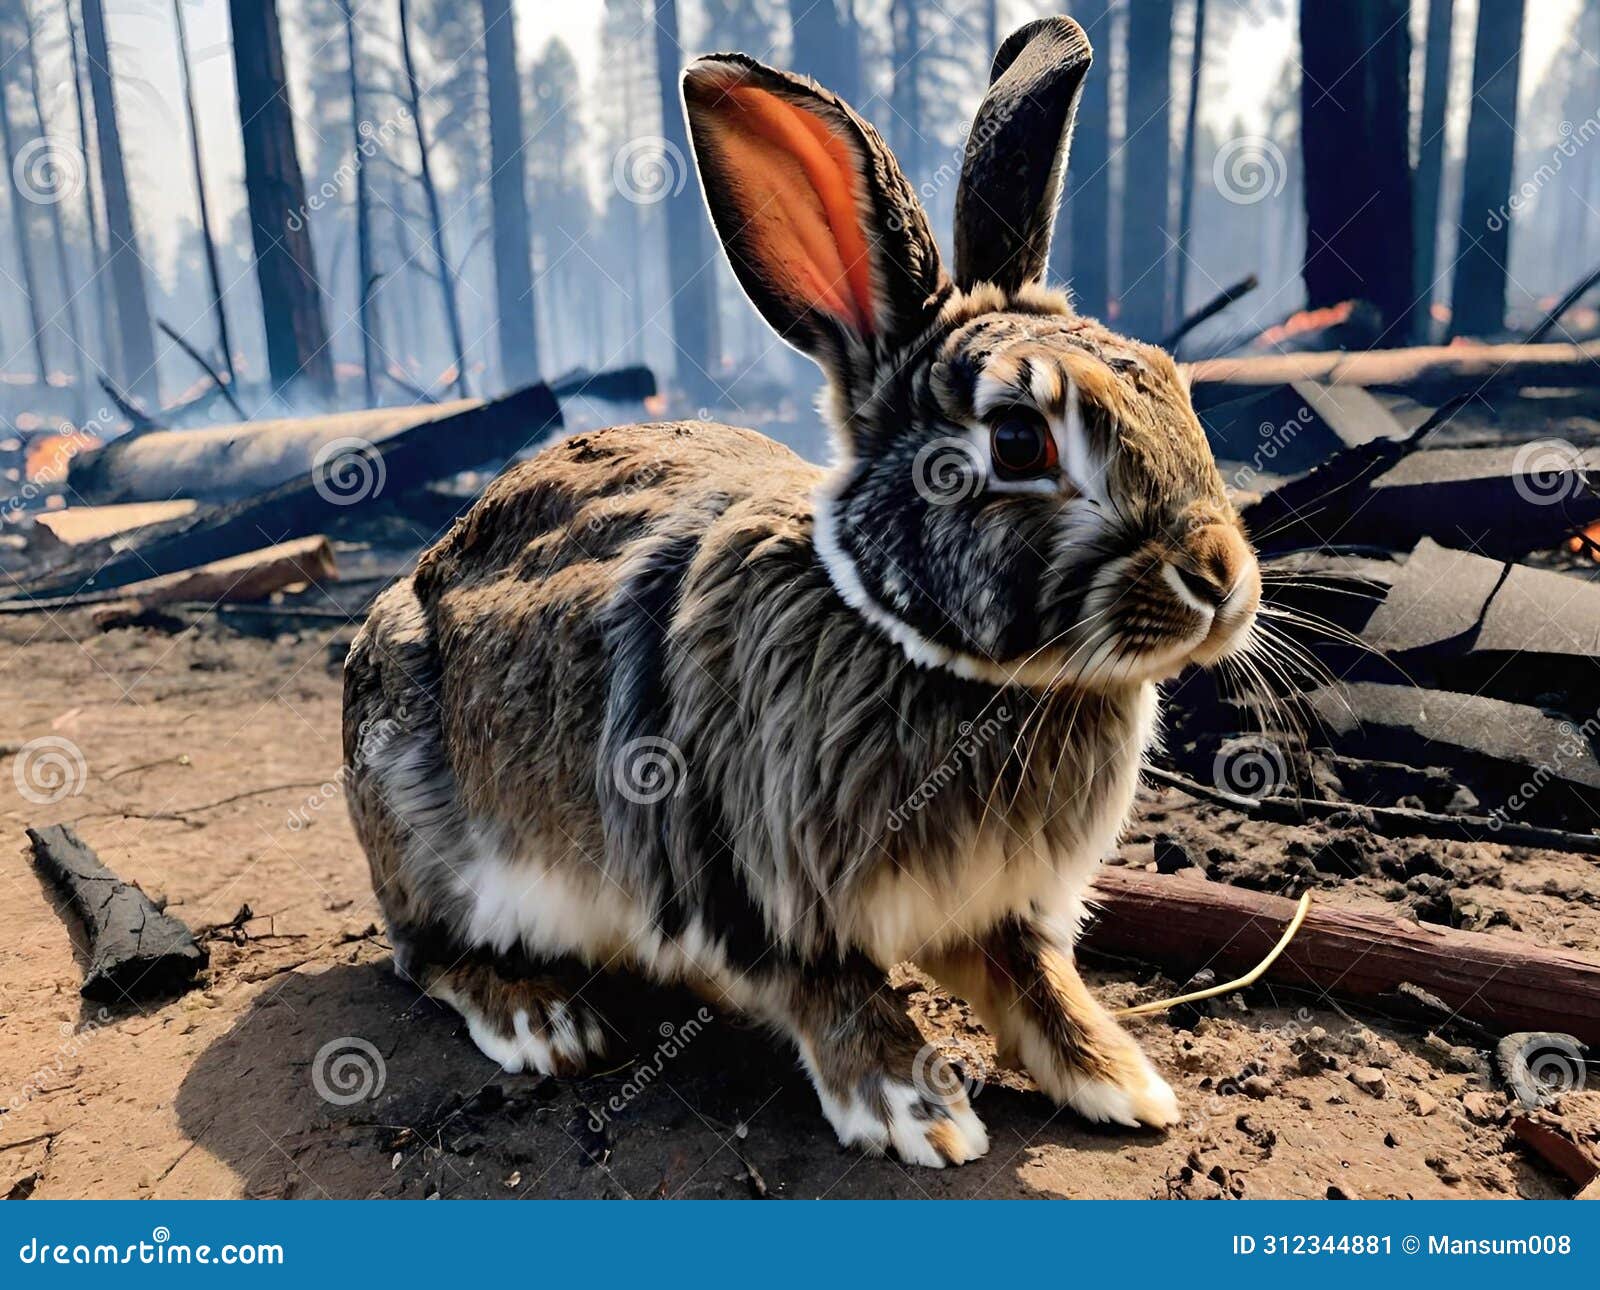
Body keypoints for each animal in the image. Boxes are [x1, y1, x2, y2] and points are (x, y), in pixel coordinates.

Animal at [342, 15, 1261, 1168]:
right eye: (1017, 440)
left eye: (1174, 383)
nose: (1220, 578)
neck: (920, 647)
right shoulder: (754, 894)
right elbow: (836, 993)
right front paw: (920, 1110)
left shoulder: (1003, 908)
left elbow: (1037, 980)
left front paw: (1120, 1081)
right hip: (419, 813)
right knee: (421, 952)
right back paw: (542, 1018)